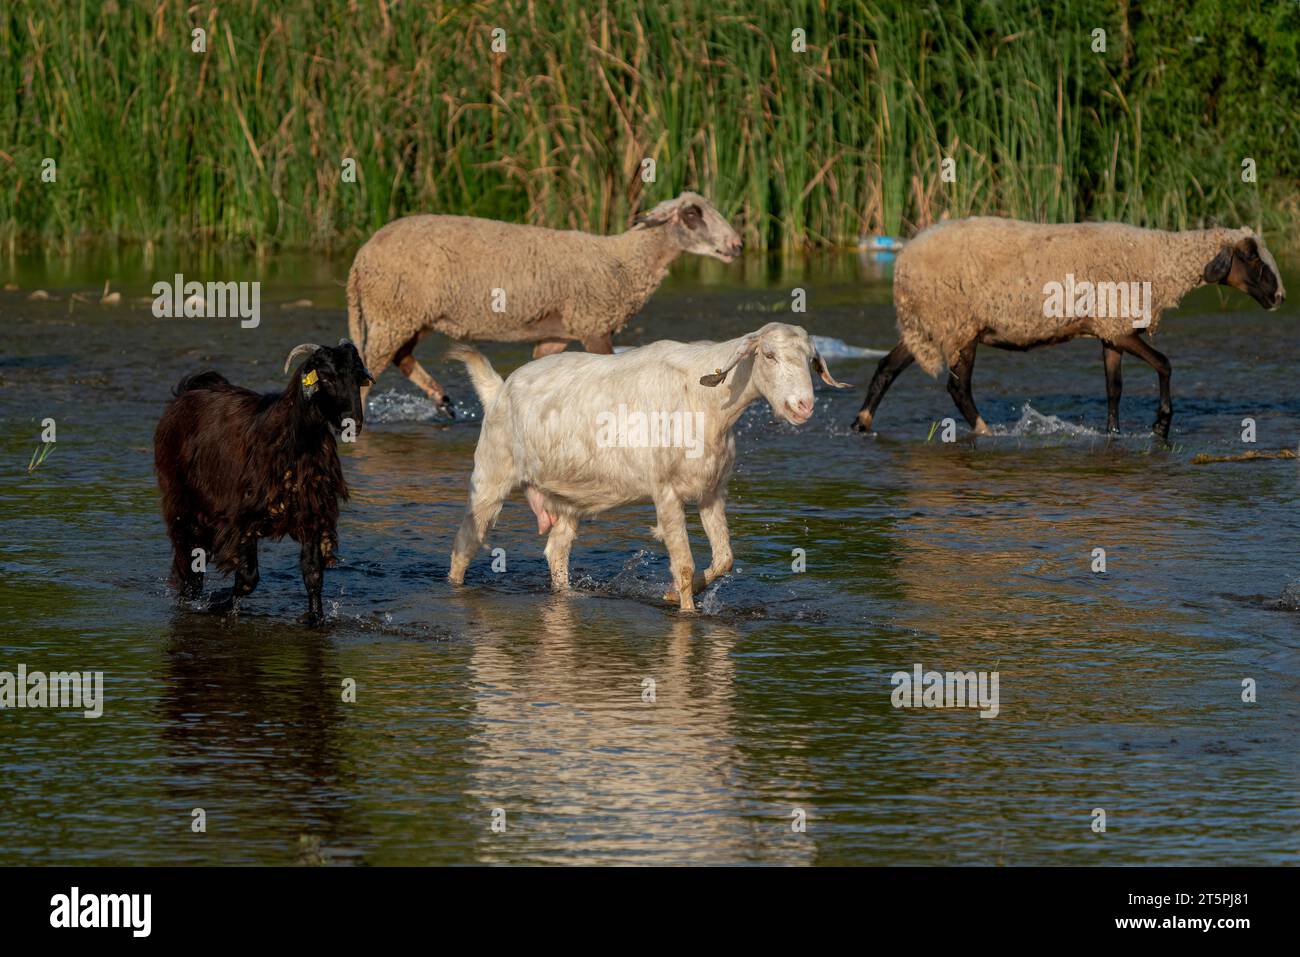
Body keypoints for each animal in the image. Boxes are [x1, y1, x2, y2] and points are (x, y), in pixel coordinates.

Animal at [153, 339, 374, 625]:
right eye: (325, 376)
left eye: (358, 377)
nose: (353, 422)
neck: (292, 439)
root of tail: (190, 389)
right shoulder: (242, 518)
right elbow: (248, 578)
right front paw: (221, 604)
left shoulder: (312, 514)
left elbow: (313, 573)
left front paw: (314, 617)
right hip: (180, 501)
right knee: (188, 559)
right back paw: (189, 599)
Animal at [346, 191, 743, 416]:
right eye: (692, 214)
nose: (737, 245)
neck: (623, 261)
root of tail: (360, 259)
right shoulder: (593, 324)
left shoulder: (556, 335)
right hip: (392, 313)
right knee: (368, 376)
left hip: (409, 316)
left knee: (401, 357)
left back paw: (442, 399)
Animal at [444, 322, 850, 612]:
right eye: (768, 354)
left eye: (811, 360)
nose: (803, 406)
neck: (704, 402)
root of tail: (499, 388)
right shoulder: (665, 491)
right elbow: (684, 564)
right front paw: (686, 610)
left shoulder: (712, 491)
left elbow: (724, 559)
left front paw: (671, 596)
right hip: (492, 473)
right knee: (466, 543)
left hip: (568, 496)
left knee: (556, 550)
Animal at [851, 217, 1286, 440]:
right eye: (1251, 257)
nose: (1279, 297)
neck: (1157, 261)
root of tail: (904, 261)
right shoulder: (1120, 326)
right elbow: (1165, 364)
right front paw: (1162, 423)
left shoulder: (1111, 331)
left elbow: (1114, 389)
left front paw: (1113, 432)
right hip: (960, 325)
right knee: (958, 389)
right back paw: (986, 430)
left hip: (934, 324)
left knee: (888, 366)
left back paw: (862, 422)